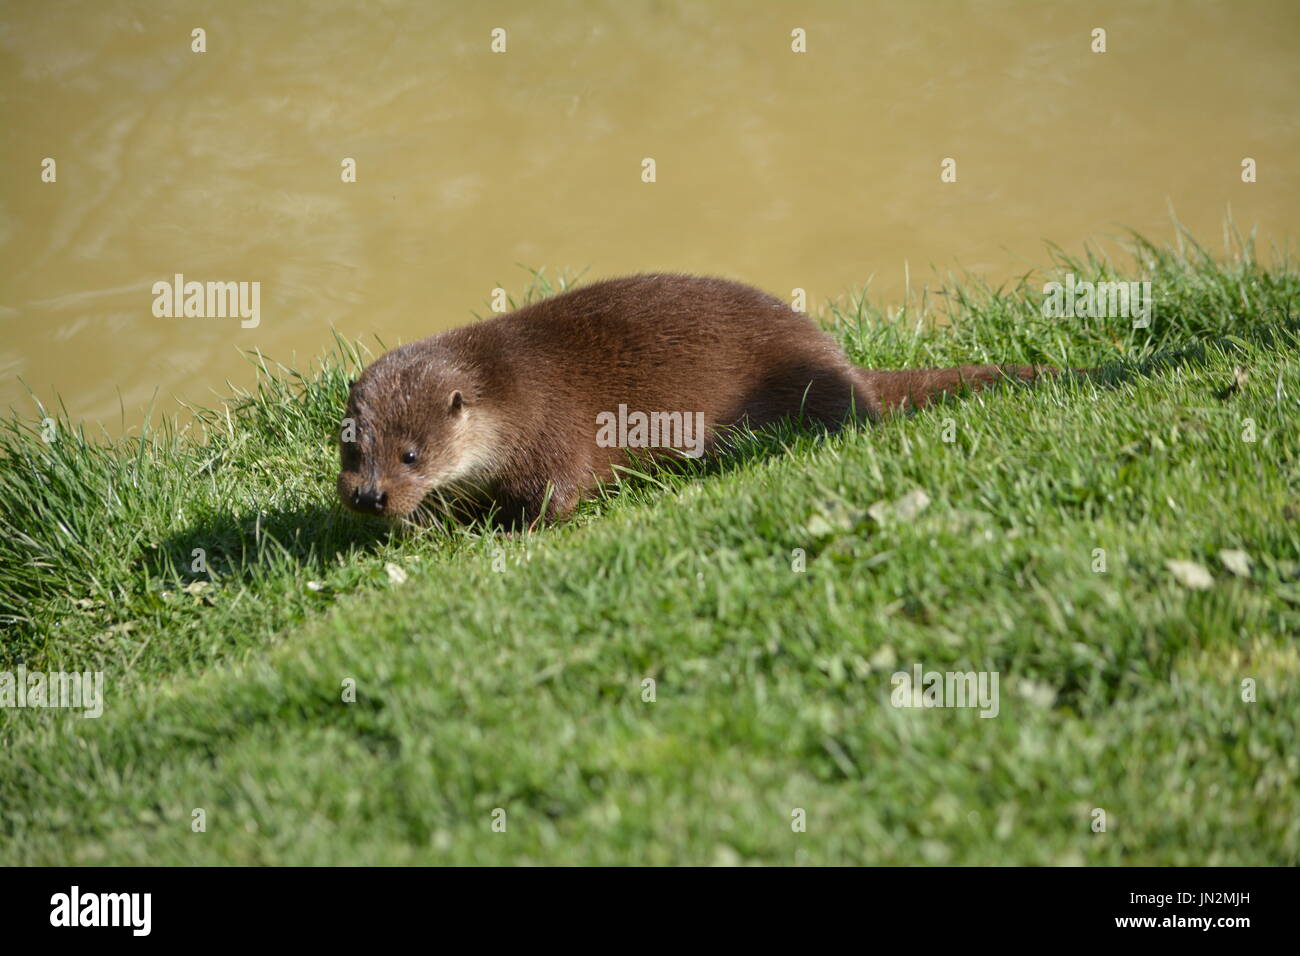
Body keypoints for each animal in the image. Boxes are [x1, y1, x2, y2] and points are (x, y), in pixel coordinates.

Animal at [337, 274, 1053, 526]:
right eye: (352, 449)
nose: (369, 497)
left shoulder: (552, 433)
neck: (508, 392)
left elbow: (558, 496)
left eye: (410, 455)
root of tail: (842, 364)